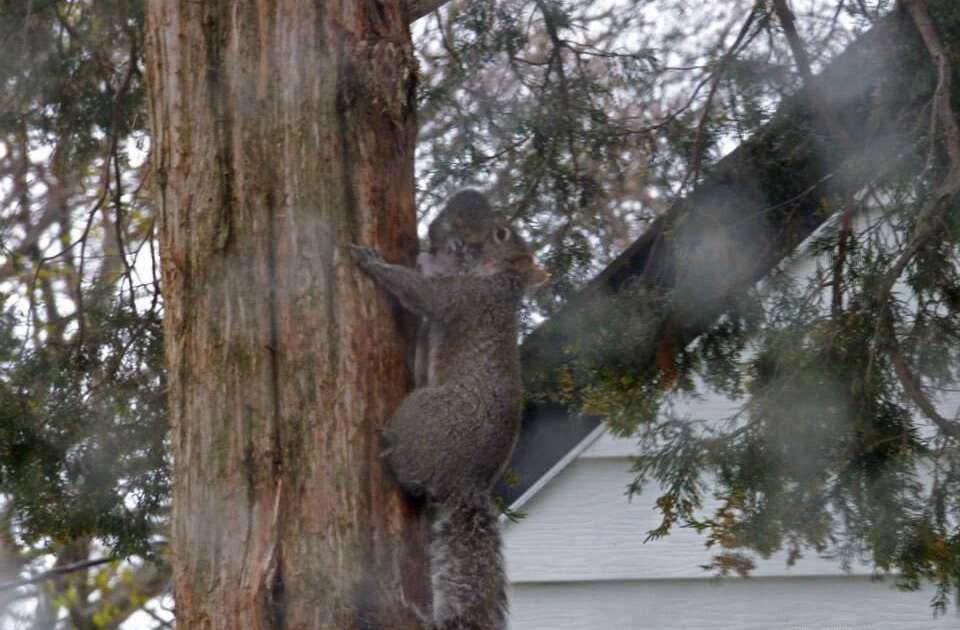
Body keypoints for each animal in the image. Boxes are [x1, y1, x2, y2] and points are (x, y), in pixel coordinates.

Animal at [351, 215, 546, 630]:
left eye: (501, 234)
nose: (467, 233)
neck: (499, 286)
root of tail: (467, 482)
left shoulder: (463, 299)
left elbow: (425, 294)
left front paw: (373, 262)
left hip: (423, 410)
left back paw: (391, 444)